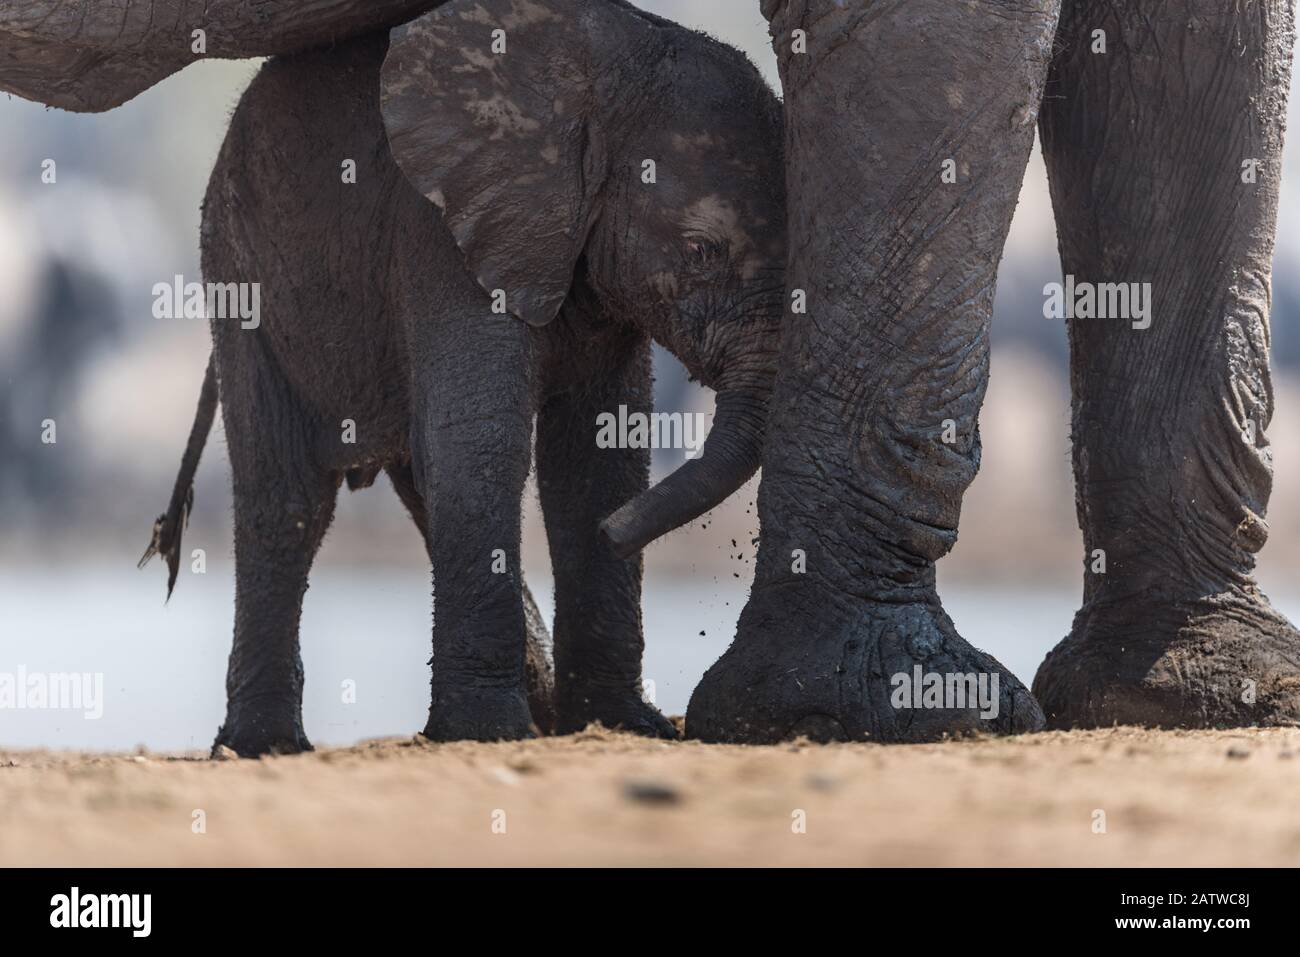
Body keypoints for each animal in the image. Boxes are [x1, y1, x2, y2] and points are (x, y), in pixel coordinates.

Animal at [0, 0, 786, 754]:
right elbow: (480, 441)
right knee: (289, 495)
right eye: (702, 251)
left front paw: (623, 723)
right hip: (240, 266)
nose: (621, 536)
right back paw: (263, 745)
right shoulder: (440, 234)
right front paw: (488, 731)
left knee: (416, 479)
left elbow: (597, 455)